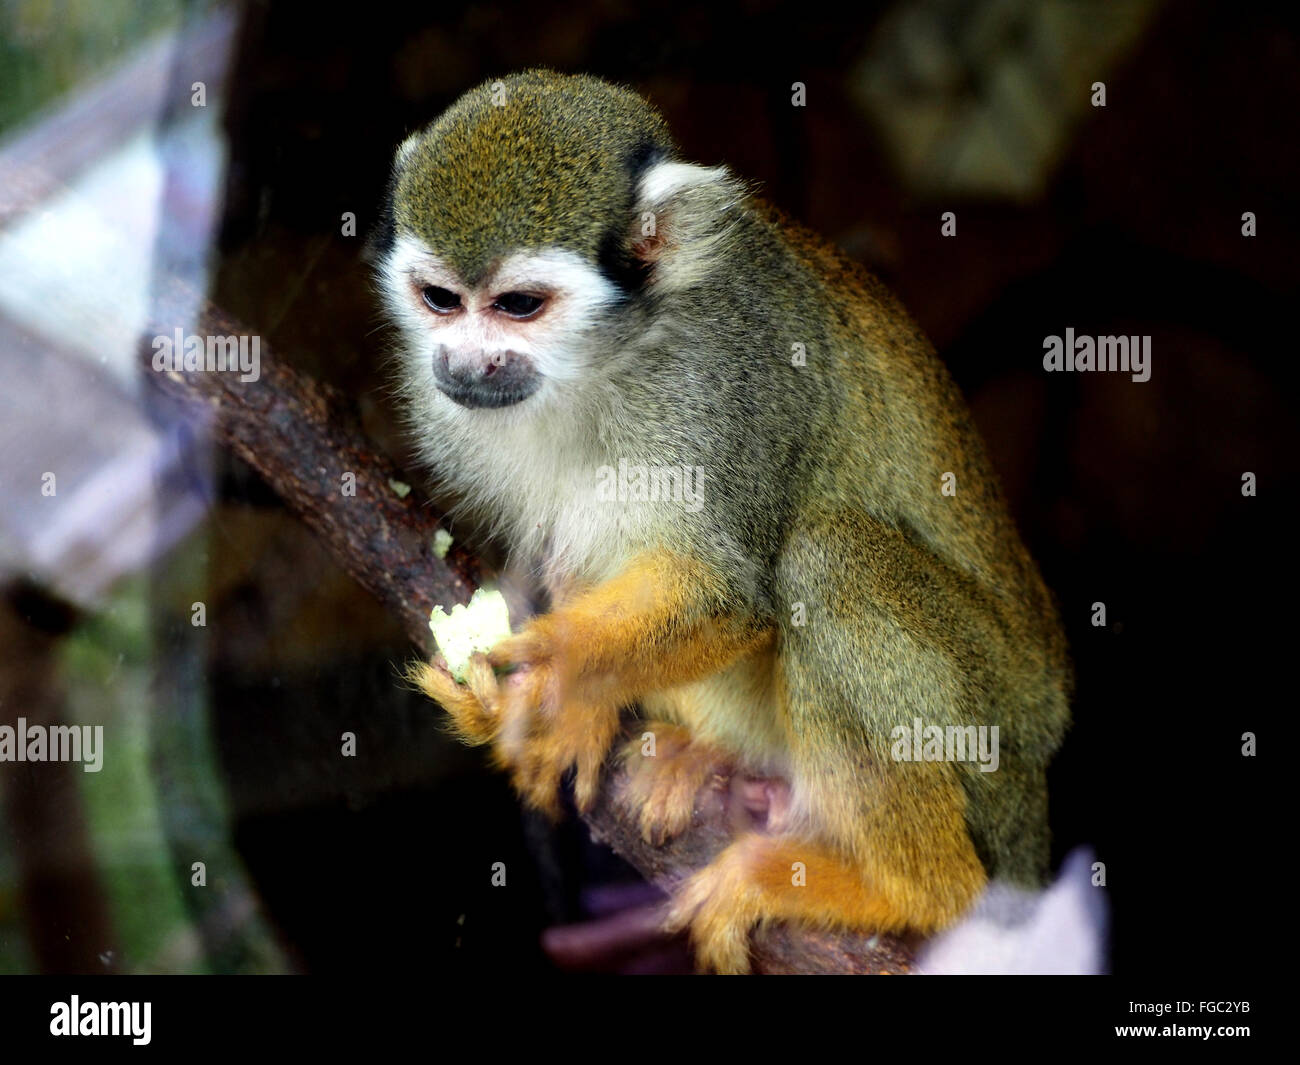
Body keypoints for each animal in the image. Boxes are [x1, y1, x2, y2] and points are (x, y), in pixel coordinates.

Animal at [372, 69, 1071, 974]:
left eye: (519, 304)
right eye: (441, 300)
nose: (462, 362)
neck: (613, 360)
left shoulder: (729, 381)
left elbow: (727, 592)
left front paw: (548, 672)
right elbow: (576, 550)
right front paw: (575, 709)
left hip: (996, 751)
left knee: (830, 560)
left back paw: (910, 891)